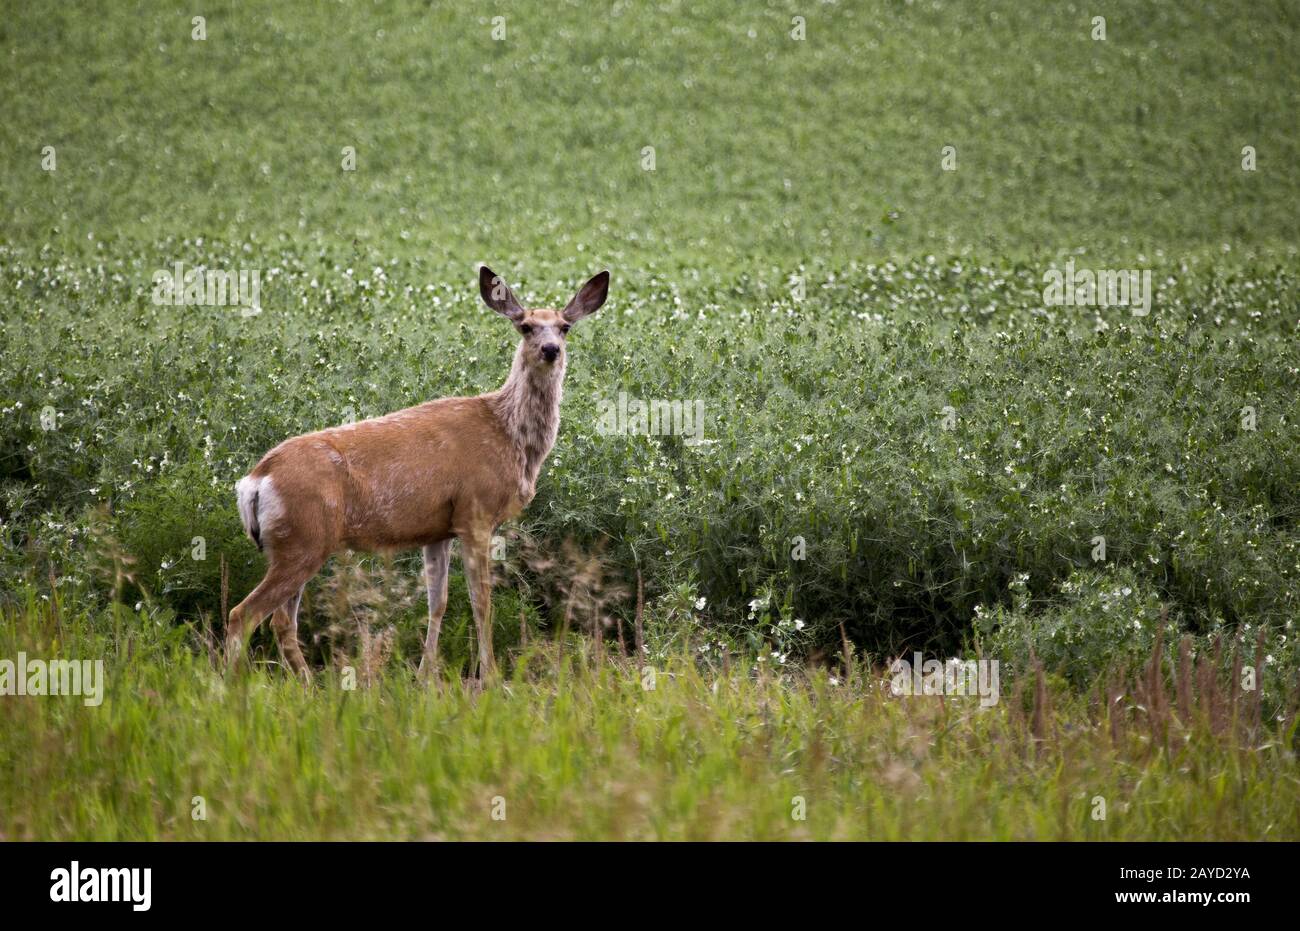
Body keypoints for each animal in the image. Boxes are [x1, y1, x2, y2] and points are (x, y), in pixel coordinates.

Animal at [225, 265, 610, 683]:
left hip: (297, 543)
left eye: (564, 327)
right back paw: (232, 685)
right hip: (302, 539)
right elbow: (481, 602)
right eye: (525, 326)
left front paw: (426, 675)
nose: (550, 349)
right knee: (243, 614)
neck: (509, 434)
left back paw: (307, 685)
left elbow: (437, 602)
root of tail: (255, 480)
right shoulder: (475, 512)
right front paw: (490, 677)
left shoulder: (438, 528)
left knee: (281, 620)